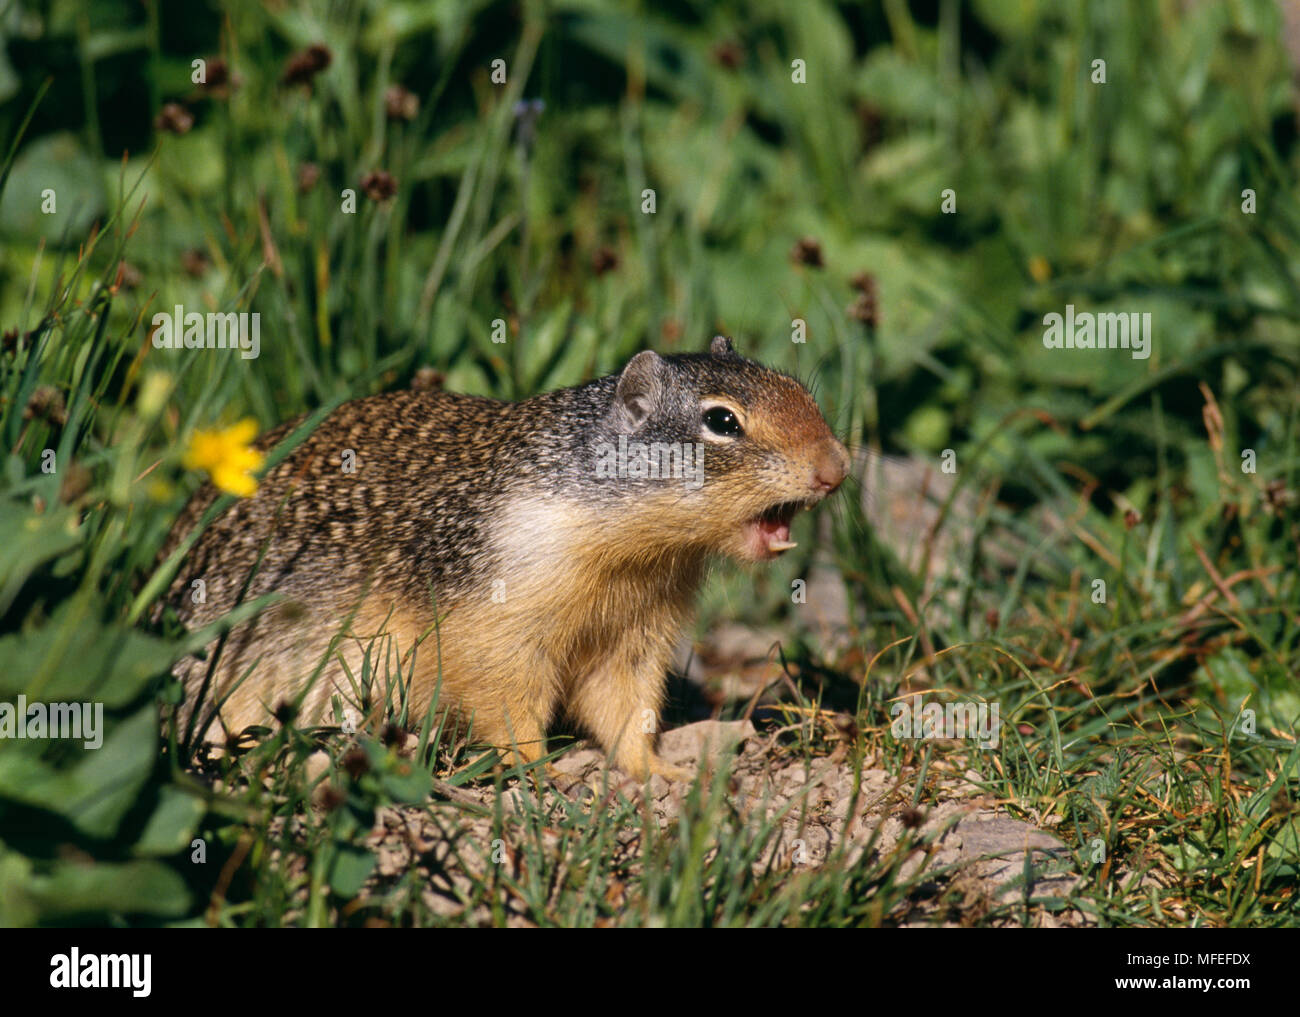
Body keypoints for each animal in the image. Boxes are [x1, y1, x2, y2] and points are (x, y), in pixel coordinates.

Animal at [161, 336, 849, 781]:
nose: (837, 468)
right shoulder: (498, 624)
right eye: (722, 421)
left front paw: (660, 772)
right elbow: (510, 705)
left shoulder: (634, 637)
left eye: (798, 390)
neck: (632, 552)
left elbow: (628, 710)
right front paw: (539, 772)